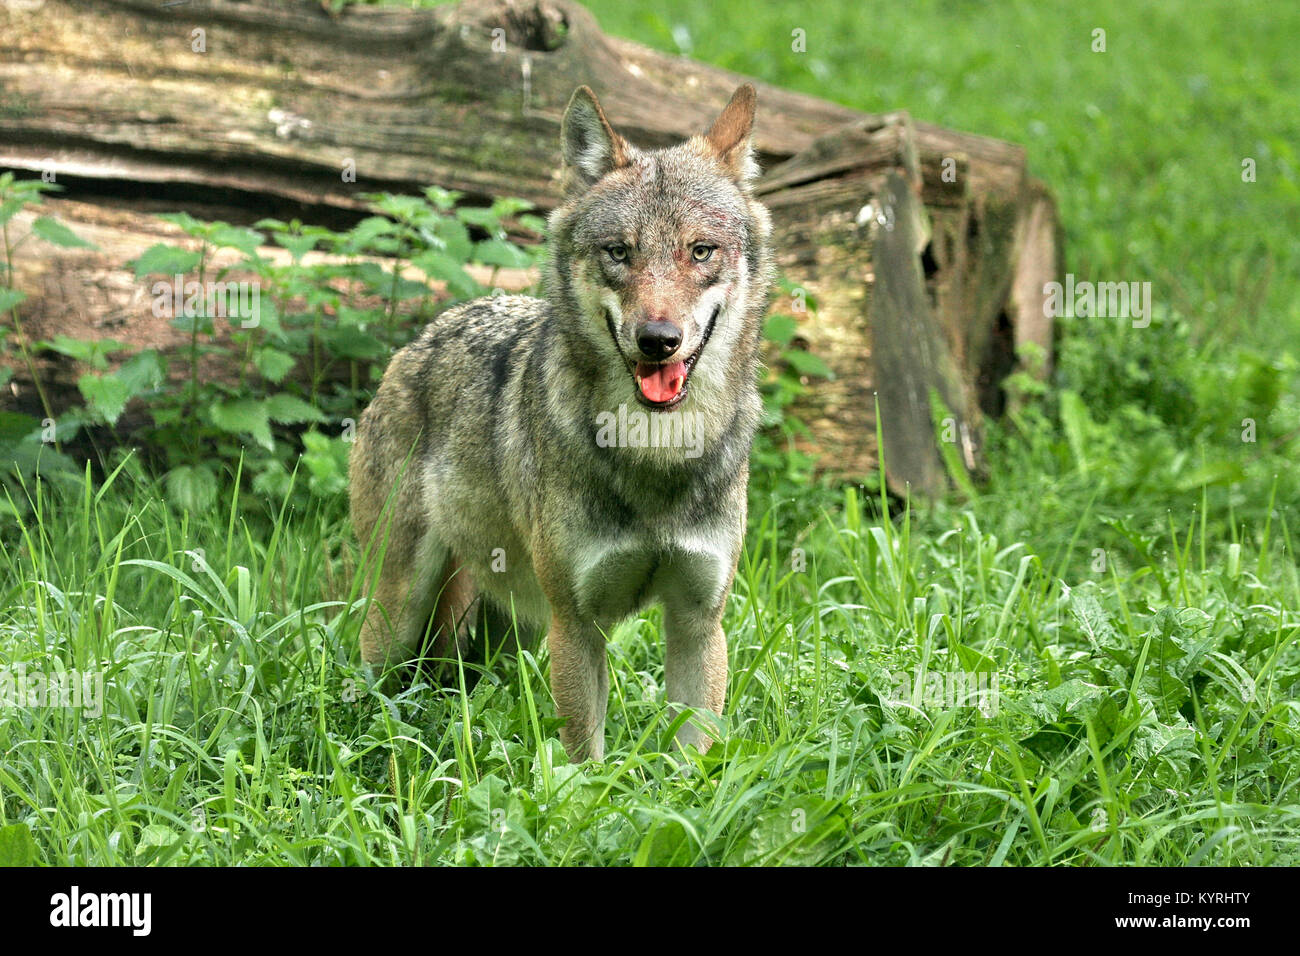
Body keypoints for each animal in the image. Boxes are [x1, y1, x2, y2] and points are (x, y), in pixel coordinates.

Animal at [349, 84, 774, 762]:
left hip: (515, 629)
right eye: (619, 252)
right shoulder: (576, 624)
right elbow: (585, 760)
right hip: (403, 614)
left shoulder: (698, 622)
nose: (658, 340)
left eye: (700, 251)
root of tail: (419, 339)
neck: (654, 452)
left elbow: (692, 764)